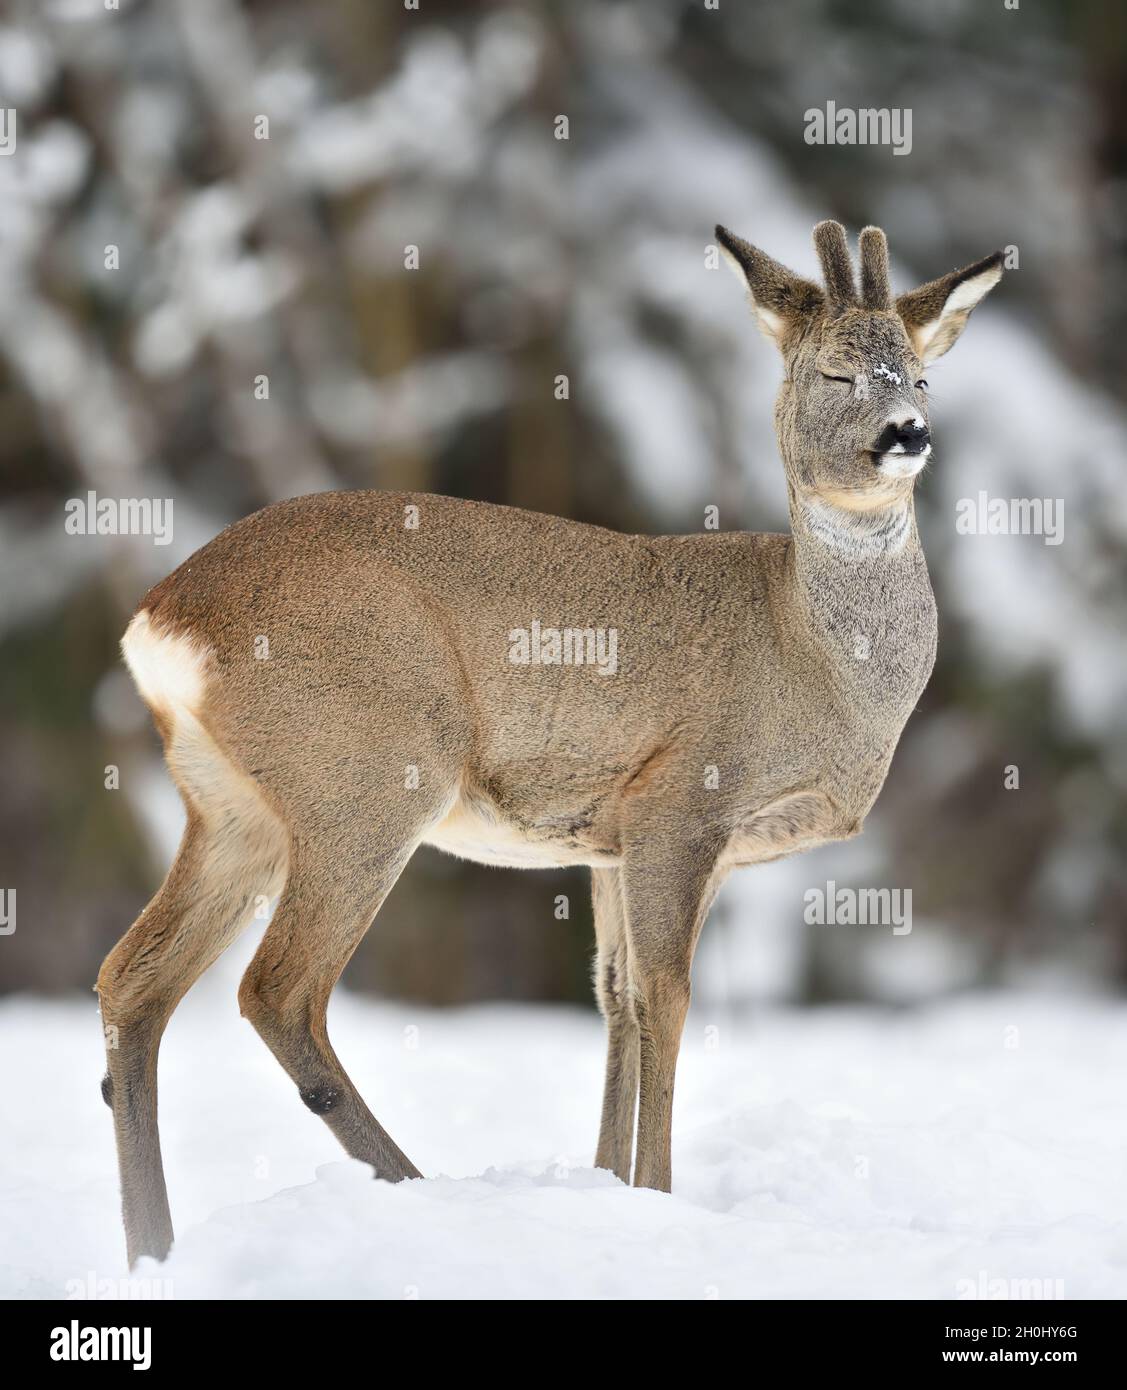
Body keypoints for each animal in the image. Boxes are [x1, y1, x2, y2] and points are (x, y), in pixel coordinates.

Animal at [97, 220, 1003, 1265]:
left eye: (921, 377)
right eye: (834, 374)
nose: (907, 433)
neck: (815, 657)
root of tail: (162, 618)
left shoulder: (608, 841)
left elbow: (615, 998)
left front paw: (609, 1184)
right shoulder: (680, 801)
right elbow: (666, 995)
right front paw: (657, 1197)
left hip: (229, 804)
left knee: (132, 983)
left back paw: (153, 1252)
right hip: (365, 771)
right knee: (275, 989)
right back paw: (413, 1192)